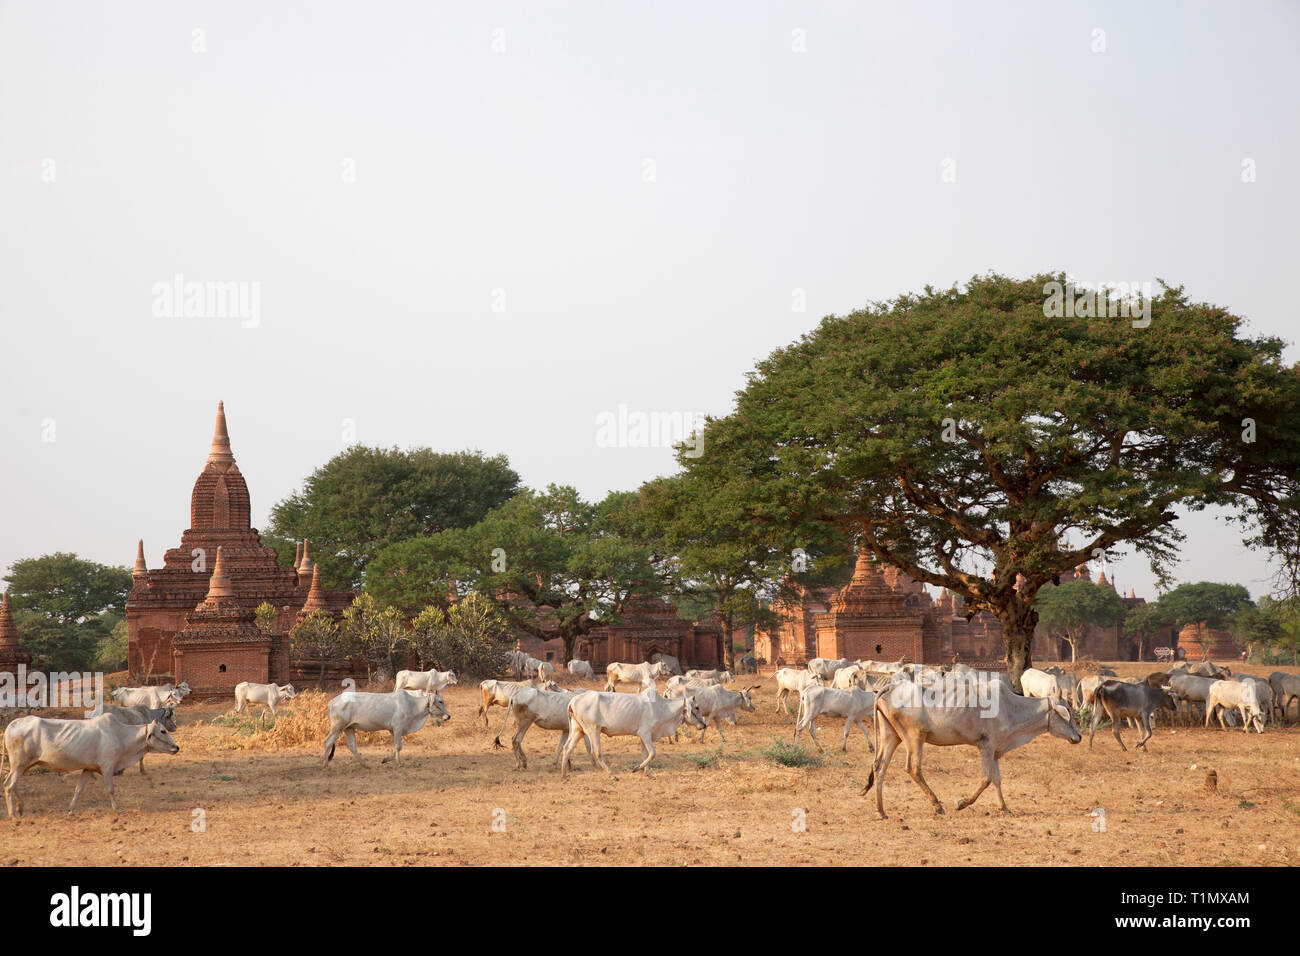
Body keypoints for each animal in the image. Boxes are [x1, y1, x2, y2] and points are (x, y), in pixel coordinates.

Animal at [3, 714, 179, 817]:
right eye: (162, 731)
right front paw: (117, 809)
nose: (176, 747)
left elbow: (78, 789)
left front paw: (71, 809)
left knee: (12, 784)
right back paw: (13, 814)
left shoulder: (88, 769)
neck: (120, 735)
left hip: (23, 765)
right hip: (19, 764)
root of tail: (13, 724)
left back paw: (20, 808)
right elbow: (111, 789)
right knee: (9, 785)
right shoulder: (107, 767)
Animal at [322, 688, 450, 766]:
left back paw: (364, 764)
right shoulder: (398, 727)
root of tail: (332, 701)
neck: (412, 705)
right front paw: (399, 763)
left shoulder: (392, 730)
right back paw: (326, 765)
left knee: (351, 745)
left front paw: (385, 760)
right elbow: (398, 746)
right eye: (440, 701)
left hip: (349, 728)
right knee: (328, 742)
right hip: (337, 728)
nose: (448, 716)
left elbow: (398, 747)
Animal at [560, 686, 706, 780]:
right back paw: (612, 775)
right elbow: (652, 753)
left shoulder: (644, 737)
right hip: (593, 730)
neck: (662, 708)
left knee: (567, 748)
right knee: (597, 753)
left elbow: (646, 754)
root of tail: (573, 701)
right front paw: (636, 768)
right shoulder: (645, 733)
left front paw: (648, 774)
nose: (704, 725)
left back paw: (564, 775)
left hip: (578, 730)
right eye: (697, 707)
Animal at [862, 677, 1081, 818]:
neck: (1012, 708)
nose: (1078, 737)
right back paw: (937, 805)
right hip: (915, 736)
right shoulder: (987, 745)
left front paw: (1005, 808)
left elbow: (998, 781)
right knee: (913, 769)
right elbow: (986, 779)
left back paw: (881, 811)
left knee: (879, 766)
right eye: (1068, 710)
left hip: (891, 735)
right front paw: (962, 803)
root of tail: (892, 686)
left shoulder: (995, 751)